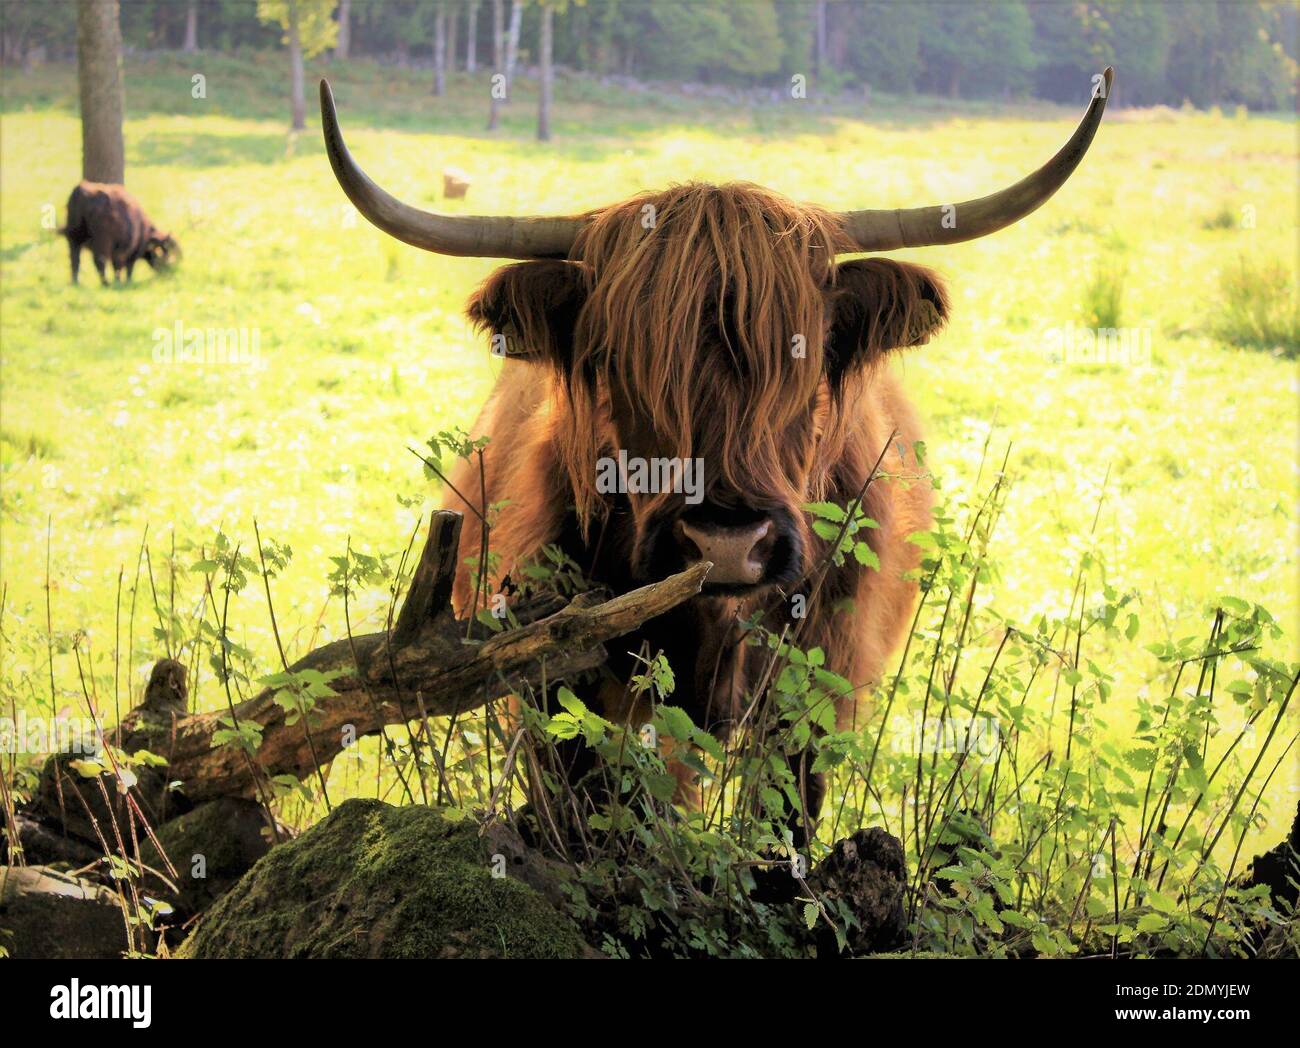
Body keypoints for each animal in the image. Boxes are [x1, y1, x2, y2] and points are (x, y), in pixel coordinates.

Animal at [320, 71, 1112, 842]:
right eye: (616, 362)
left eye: (804, 355)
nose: (727, 544)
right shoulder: (559, 680)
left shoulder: (818, 687)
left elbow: (782, 820)